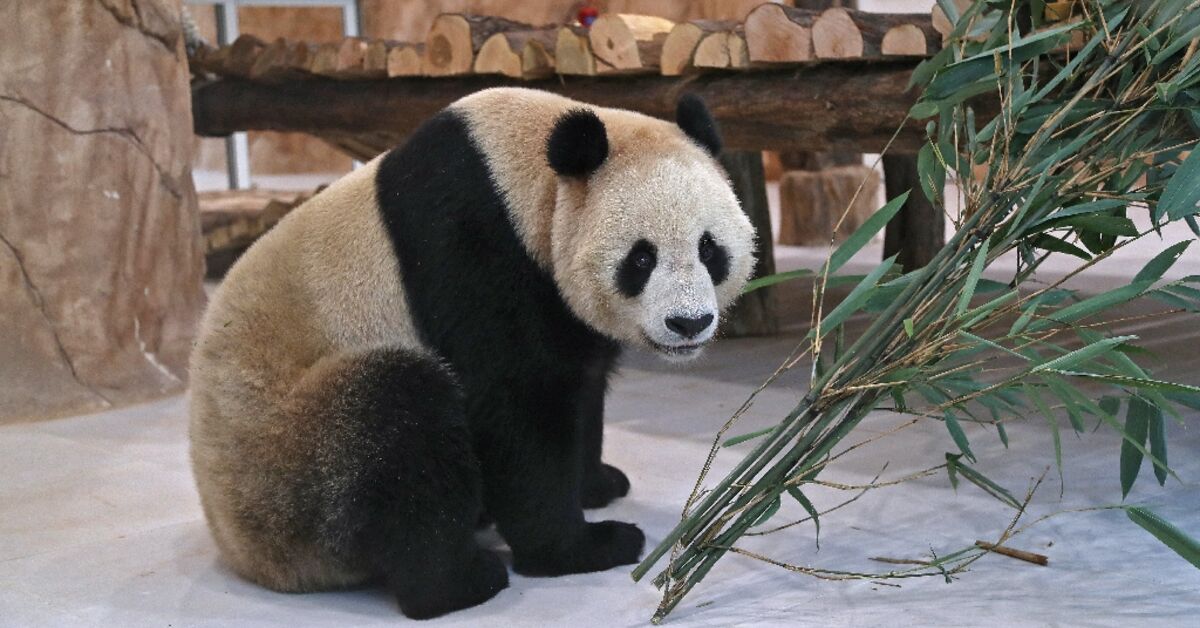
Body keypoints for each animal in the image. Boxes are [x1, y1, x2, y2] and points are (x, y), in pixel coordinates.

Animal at [189, 87, 755, 619]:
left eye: (709, 248)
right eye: (641, 259)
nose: (688, 323)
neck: (525, 181)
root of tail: (240, 551)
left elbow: (580, 382)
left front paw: (596, 483)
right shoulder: (472, 247)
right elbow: (515, 406)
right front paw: (582, 547)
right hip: (288, 458)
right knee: (394, 426)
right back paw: (461, 582)